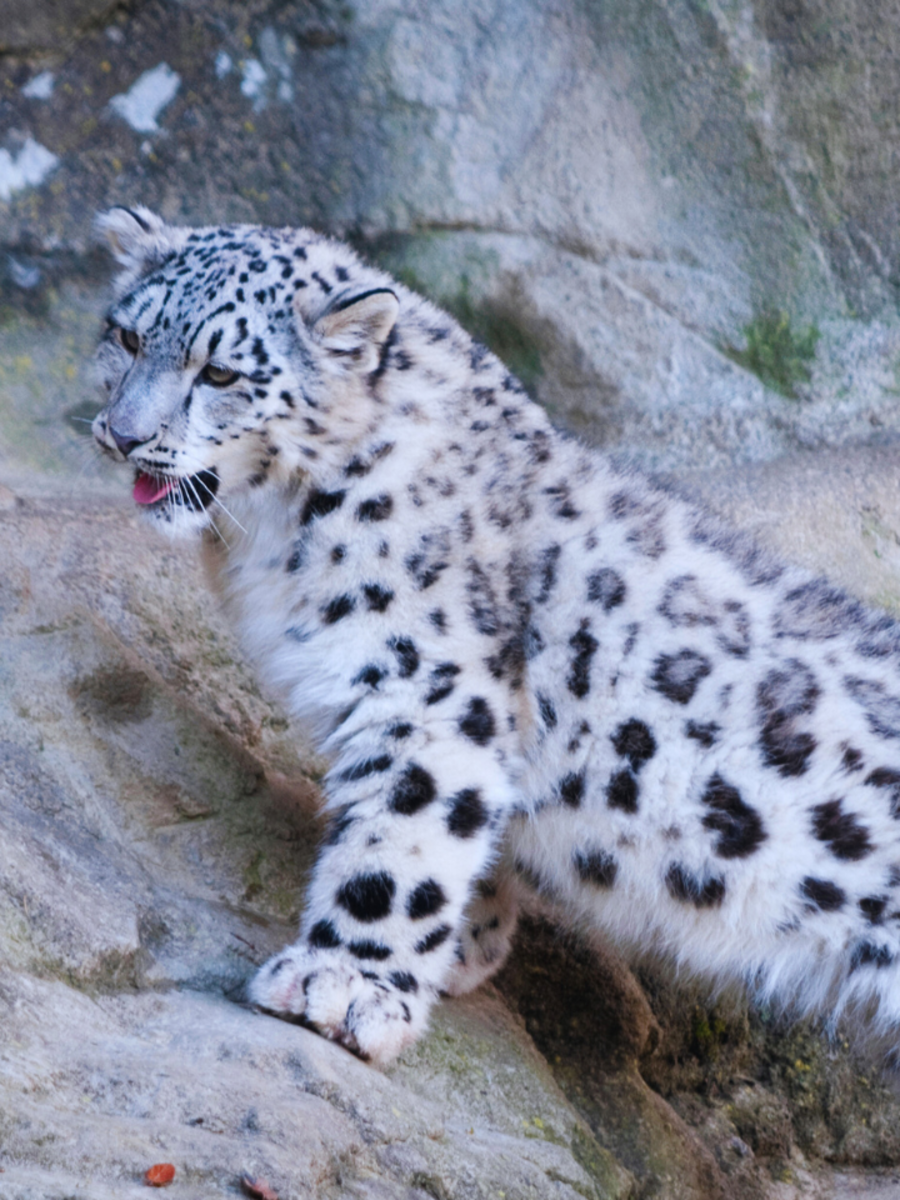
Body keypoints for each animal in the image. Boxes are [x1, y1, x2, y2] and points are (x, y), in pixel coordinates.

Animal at [91, 204, 900, 1067]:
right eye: (128, 337)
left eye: (220, 374)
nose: (121, 434)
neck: (273, 535)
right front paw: (465, 943)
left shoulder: (428, 690)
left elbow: (404, 838)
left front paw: (343, 983)